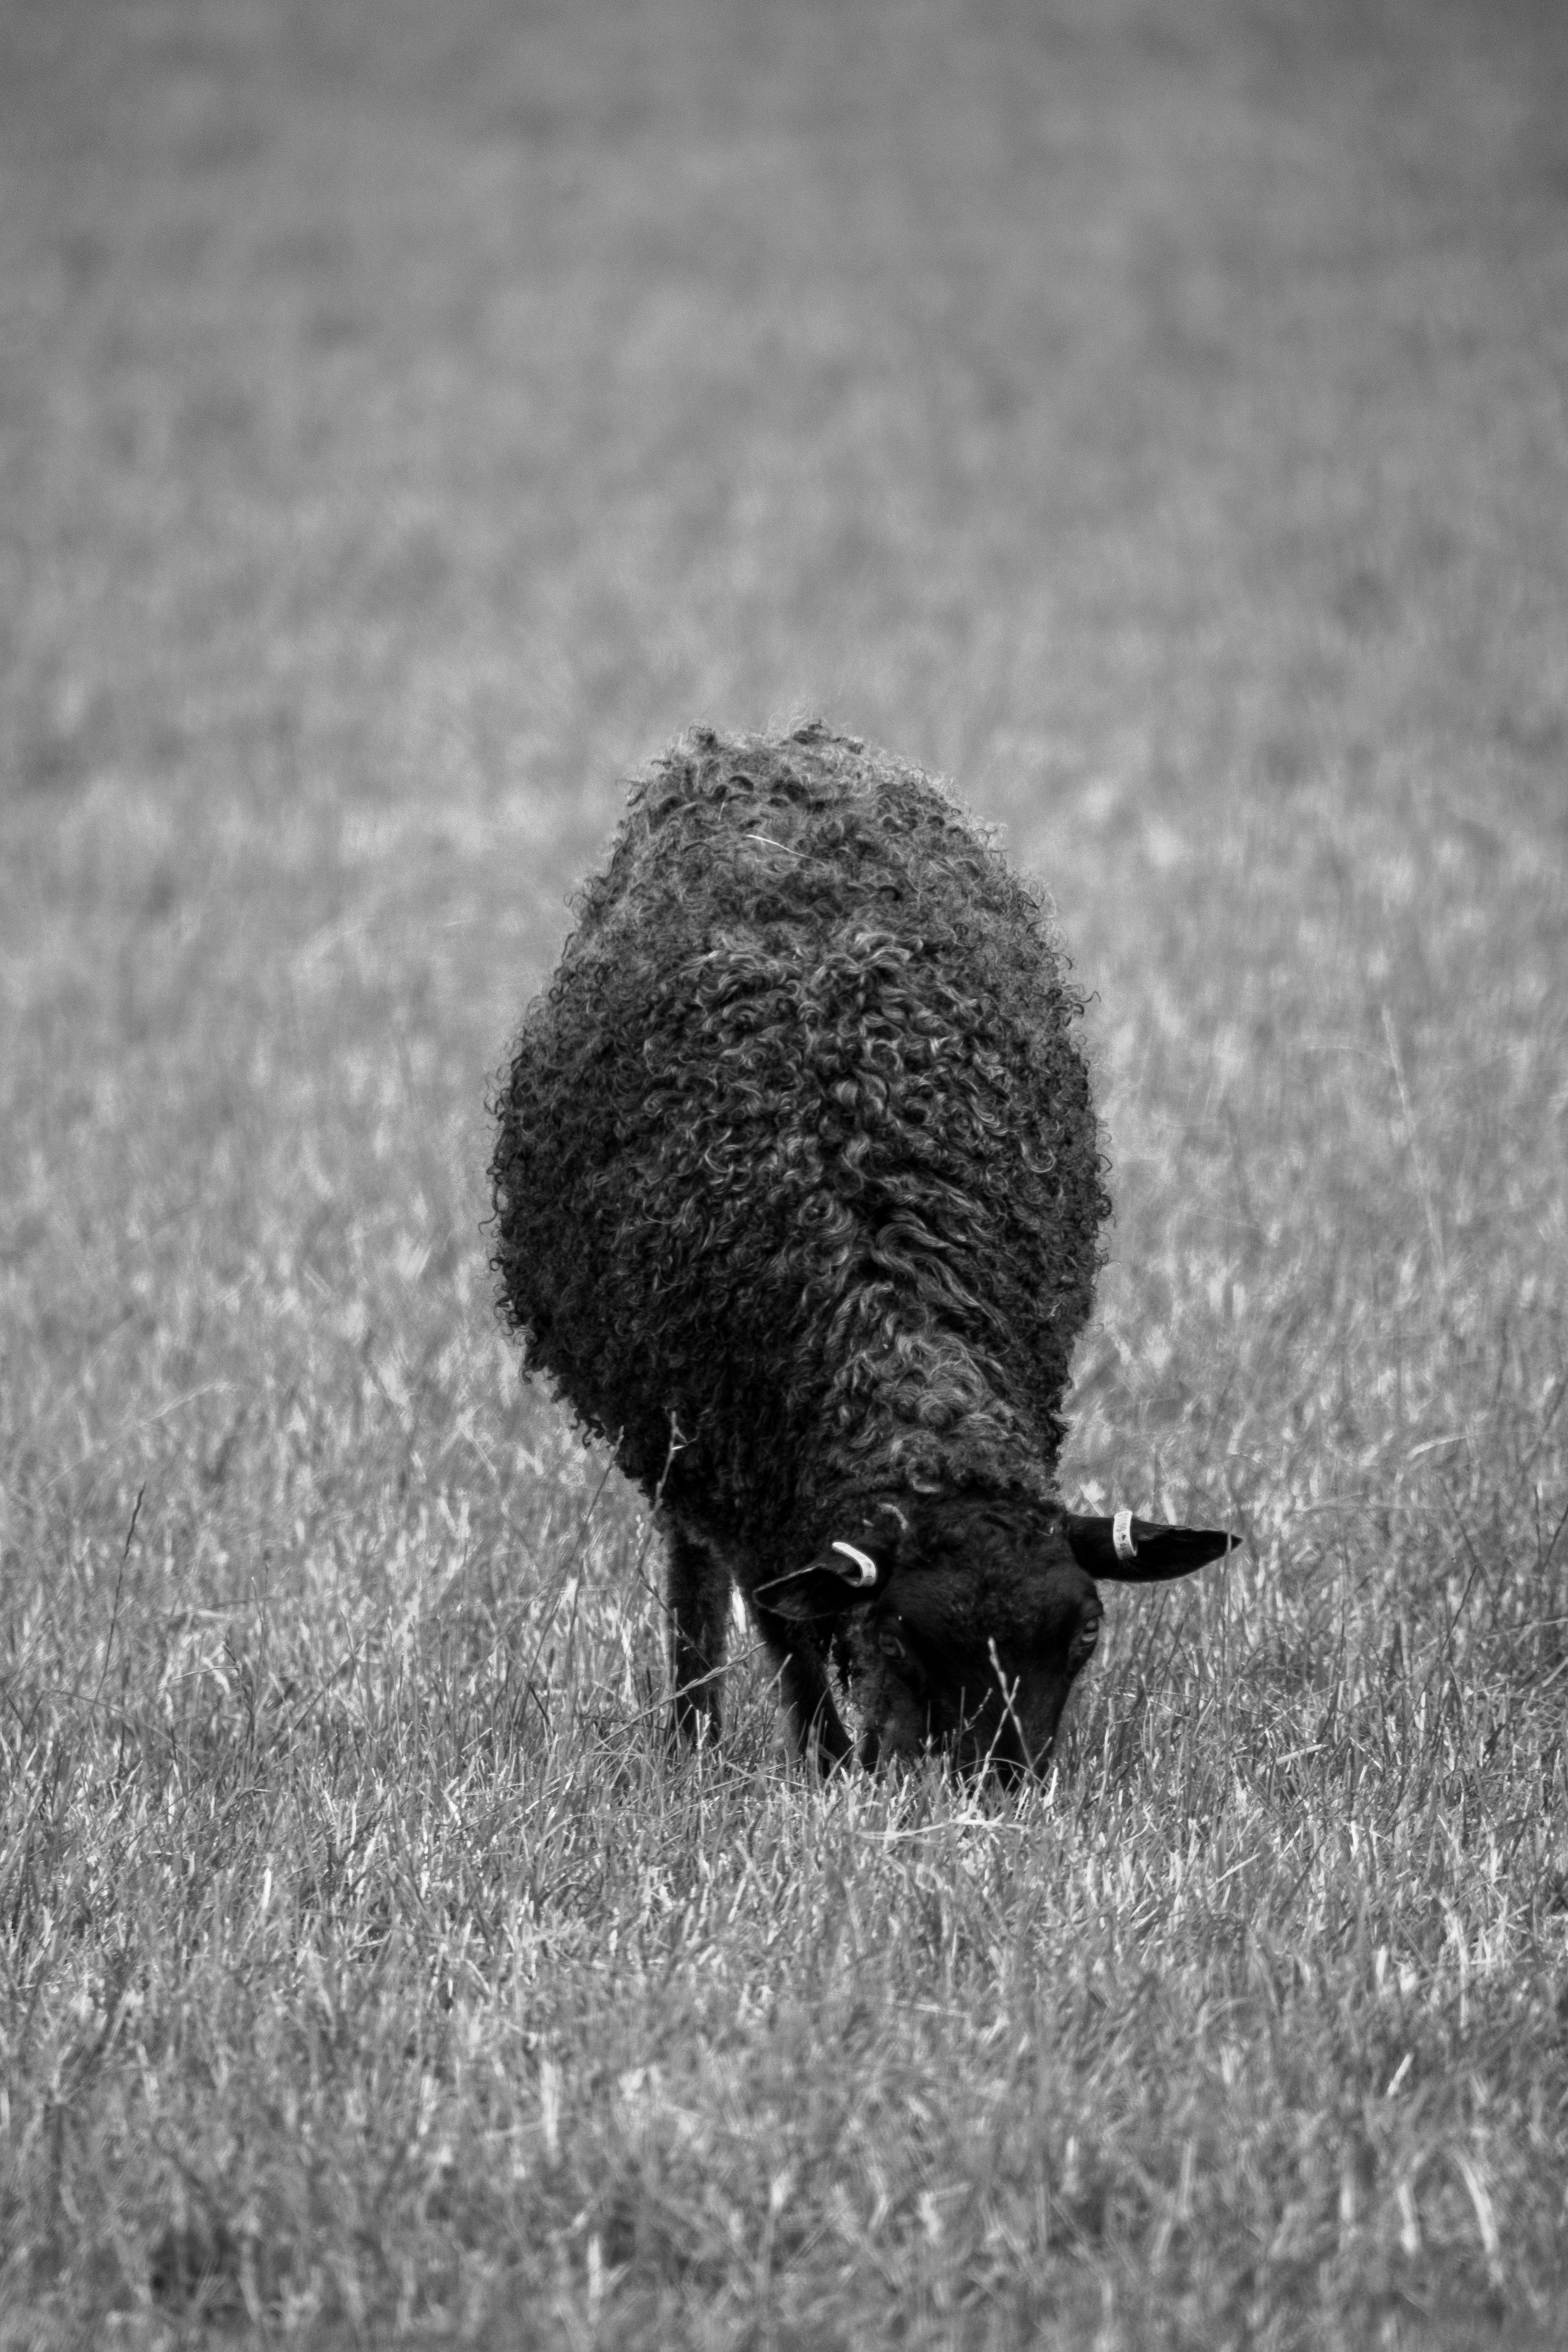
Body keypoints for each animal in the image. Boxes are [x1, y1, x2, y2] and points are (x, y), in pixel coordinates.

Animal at [490, 722, 1233, 1775]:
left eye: (1084, 1635)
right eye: (902, 1639)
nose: (996, 1787)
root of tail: (762, 747)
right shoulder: (745, 1485)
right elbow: (782, 1628)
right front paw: (832, 1763)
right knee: (691, 1576)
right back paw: (694, 1733)